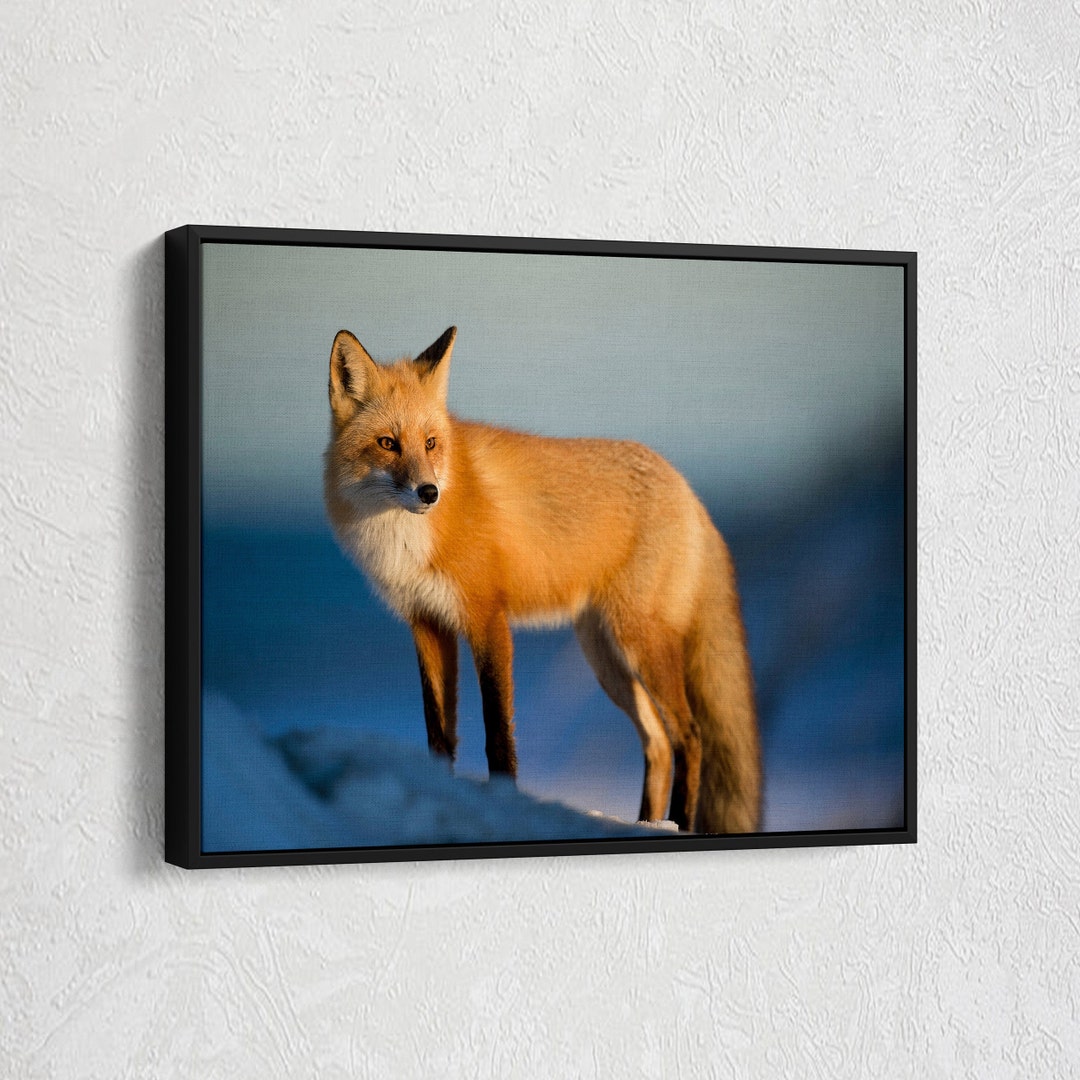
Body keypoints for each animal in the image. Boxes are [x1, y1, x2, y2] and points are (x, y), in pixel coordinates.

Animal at [324, 326, 761, 833]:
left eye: (431, 443)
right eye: (388, 443)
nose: (428, 492)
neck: (407, 540)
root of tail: (690, 492)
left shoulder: (487, 619)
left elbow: (498, 735)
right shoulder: (427, 624)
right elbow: (439, 736)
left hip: (640, 644)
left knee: (689, 737)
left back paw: (679, 824)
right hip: (607, 659)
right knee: (658, 744)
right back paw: (646, 824)